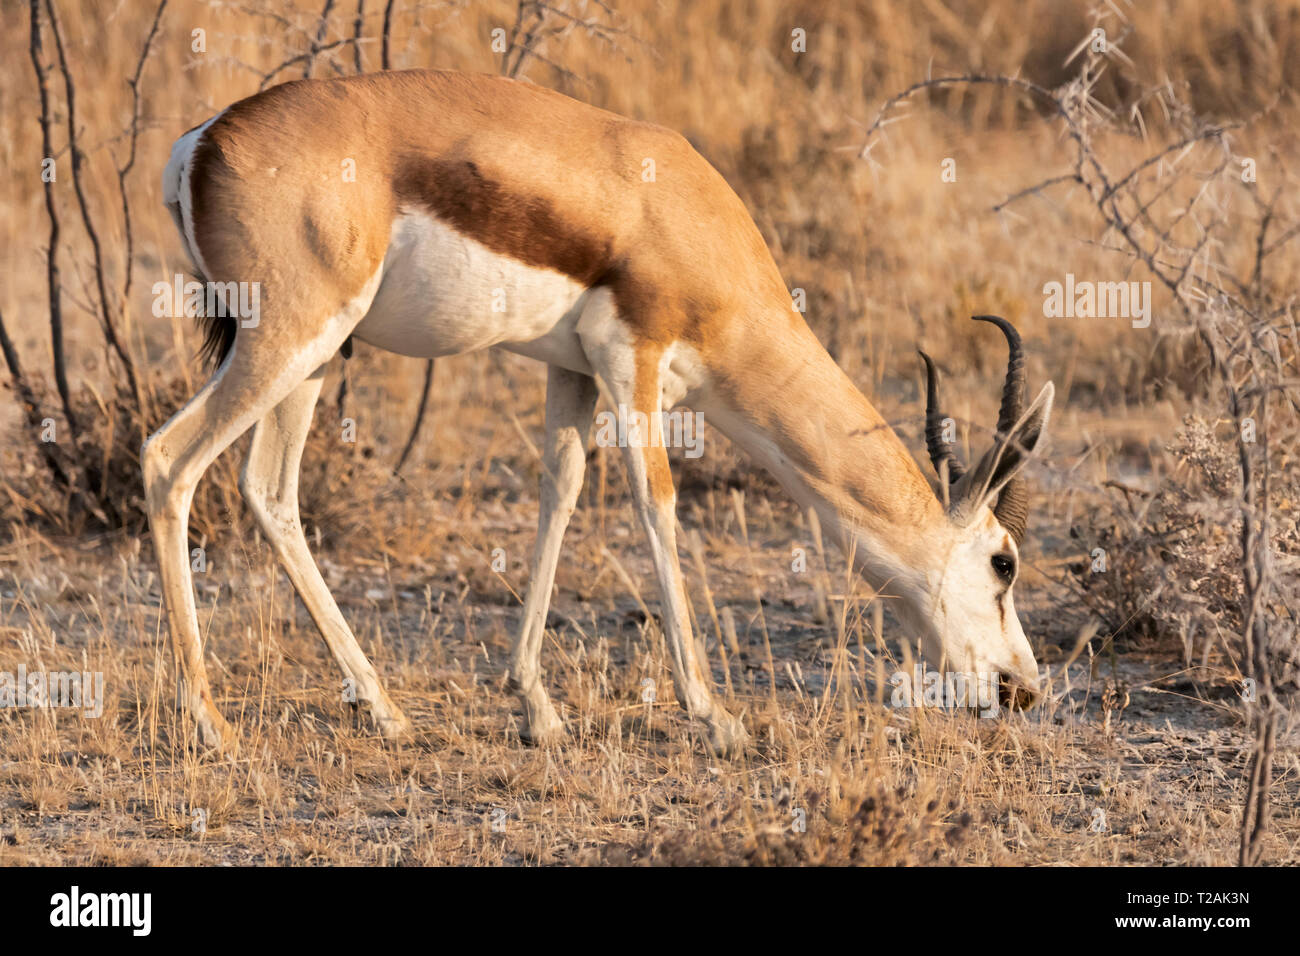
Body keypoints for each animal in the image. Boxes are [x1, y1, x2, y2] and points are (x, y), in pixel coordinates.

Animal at [144, 69, 1053, 756]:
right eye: (1004, 563)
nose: (1022, 689)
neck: (679, 217)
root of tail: (202, 140)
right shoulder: (632, 363)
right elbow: (657, 504)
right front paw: (716, 718)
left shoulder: (571, 373)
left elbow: (562, 496)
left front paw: (537, 710)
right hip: (288, 339)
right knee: (167, 459)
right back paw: (211, 723)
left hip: (315, 354)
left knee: (269, 490)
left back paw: (385, 710)